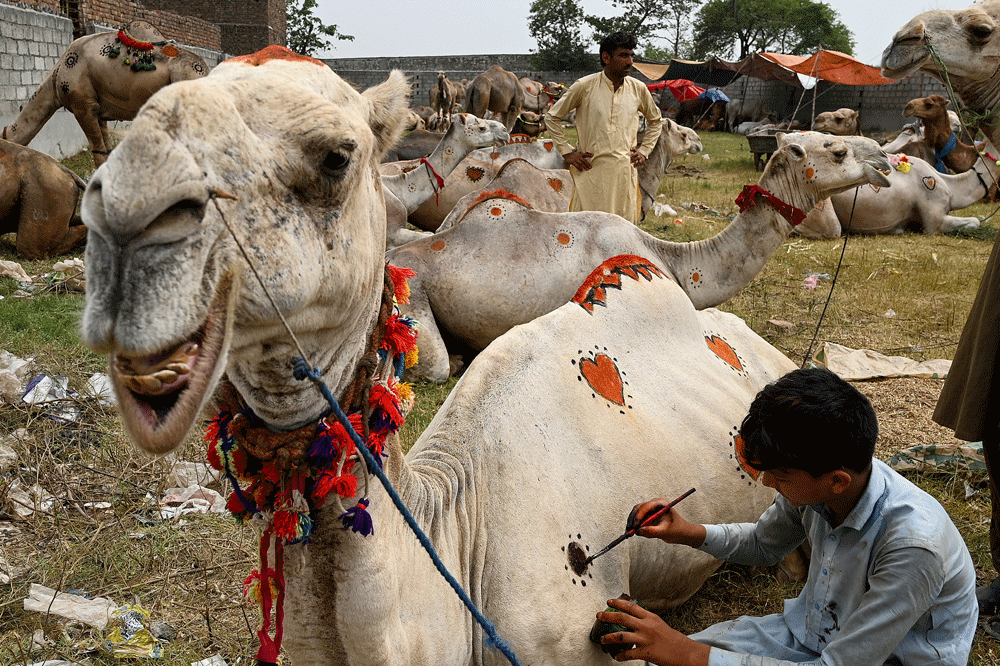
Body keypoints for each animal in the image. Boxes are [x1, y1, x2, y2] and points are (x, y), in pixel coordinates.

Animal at [2, 21, 208, 167]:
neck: (55, 78)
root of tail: (204, 70)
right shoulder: (100, 112)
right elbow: (107, 151)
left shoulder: (83, 106)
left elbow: (98, 153)